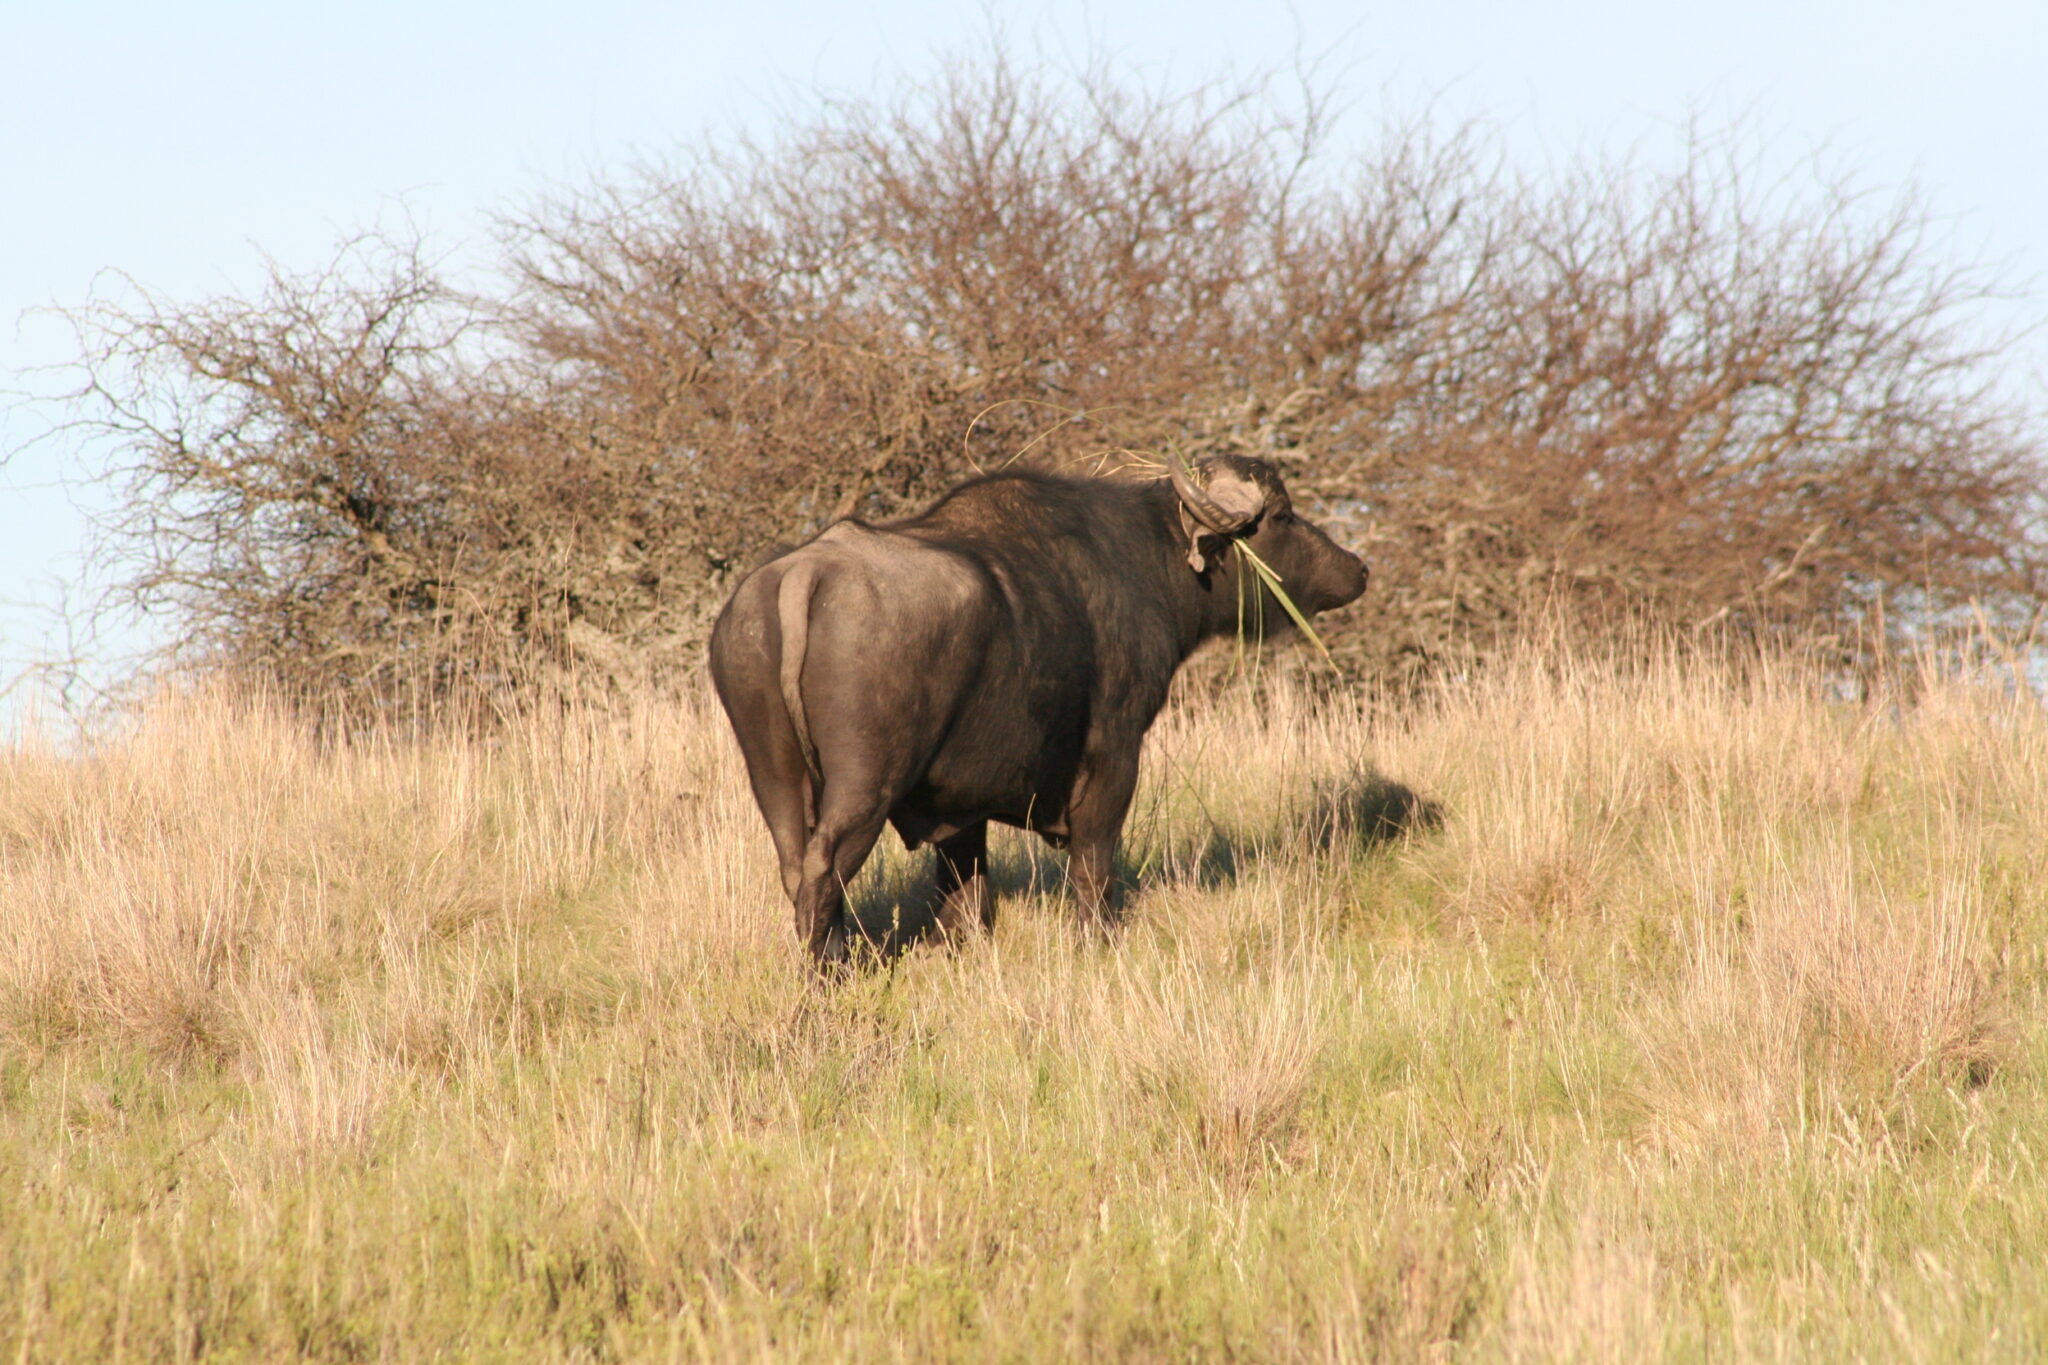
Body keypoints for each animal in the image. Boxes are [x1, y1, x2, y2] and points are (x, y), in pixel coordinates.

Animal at [708, 455, 1368, 966]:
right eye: (1282, 517)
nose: (1357, 568)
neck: (1149, 558)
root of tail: (805, 571)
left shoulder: (959, 805)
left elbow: (967, 889)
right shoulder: (1114, 756)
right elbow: (1094, 863)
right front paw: (1096, 942)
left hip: (775, 782)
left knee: (796, 868)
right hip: (865, 784)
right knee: (824, 871)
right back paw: (830, 974)